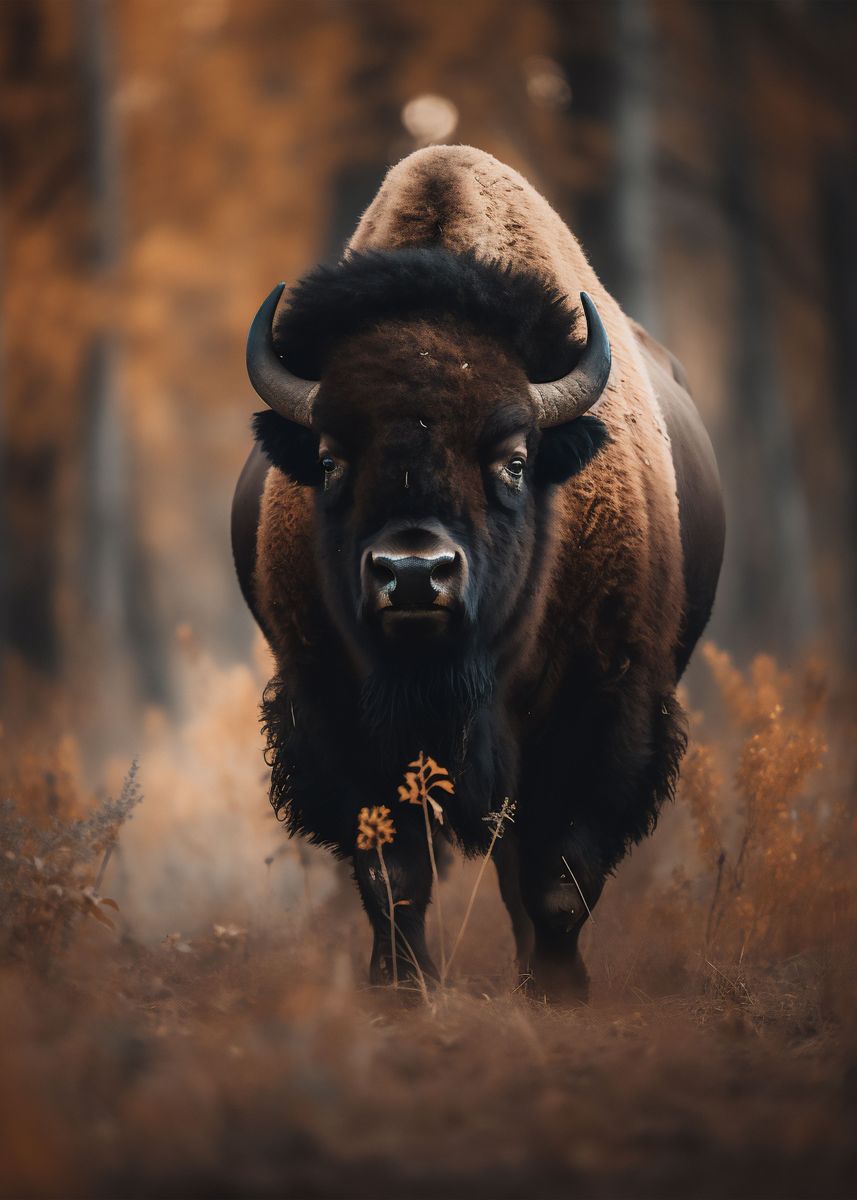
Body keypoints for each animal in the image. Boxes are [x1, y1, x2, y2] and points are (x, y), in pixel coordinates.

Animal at [232, 145, 724, 998]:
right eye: (328, 460)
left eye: (514, 460)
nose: (413, 573)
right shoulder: (332, 711)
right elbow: (391, 871)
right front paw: (402, 990)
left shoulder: (599, 707)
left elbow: (560, 876)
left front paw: (557, 994)